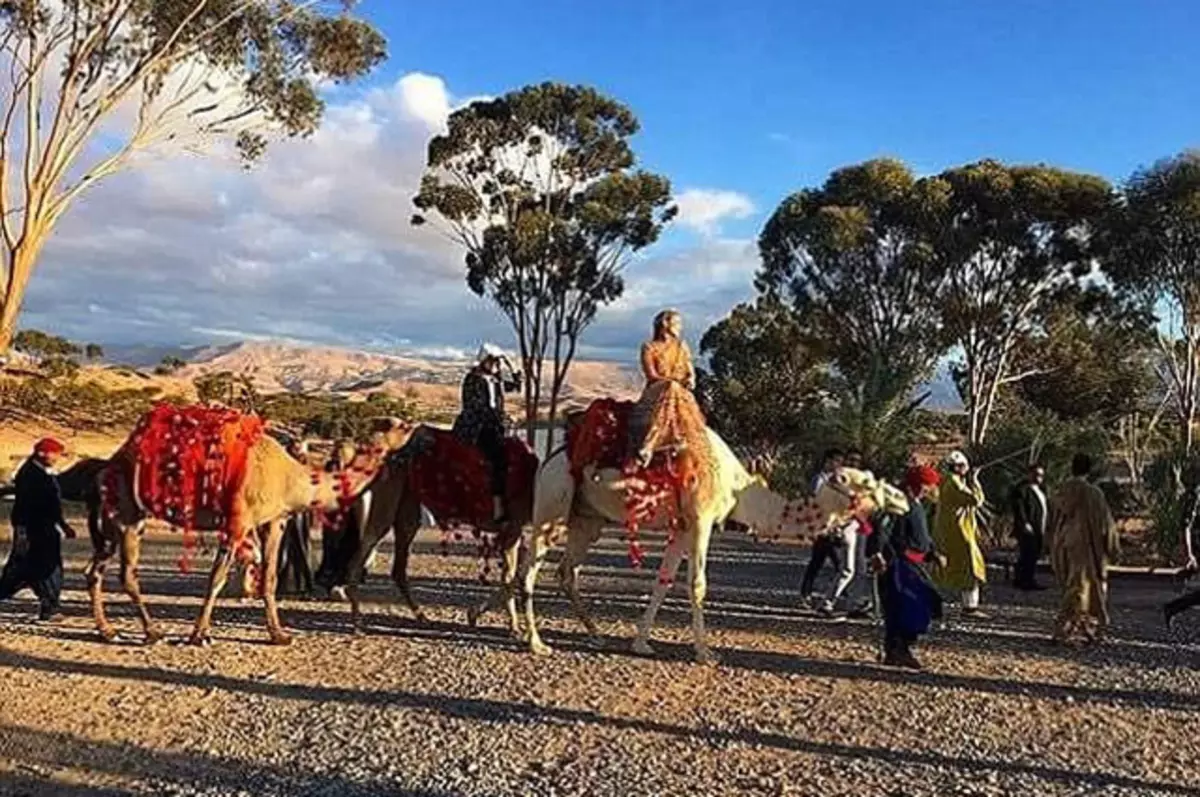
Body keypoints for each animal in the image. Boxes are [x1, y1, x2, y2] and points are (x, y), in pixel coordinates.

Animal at [88, 405, 379, 648]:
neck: (288, 477)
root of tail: (106, 467)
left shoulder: (274, 521)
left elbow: (269, 578)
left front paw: (279, 635)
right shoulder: (237, 522)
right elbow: (216, 578)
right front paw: (199, 635)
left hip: (112, 523)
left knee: (94, 571)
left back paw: (108, 631)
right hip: (128, 515)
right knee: (127, 574)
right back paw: (152, 633)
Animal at [511, 398, 902, 667]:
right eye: (864, 482)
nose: (899, 499)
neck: (737, 486)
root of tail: (549, 458)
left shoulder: (683, 528)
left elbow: (663, 580)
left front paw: (641, 642)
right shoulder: (701, 519)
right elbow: (697, 584)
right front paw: (705, 652)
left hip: (585, 520)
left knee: (565, 571)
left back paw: (590, 634)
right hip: (552, 506)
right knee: (528, 571)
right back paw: (535, 642)